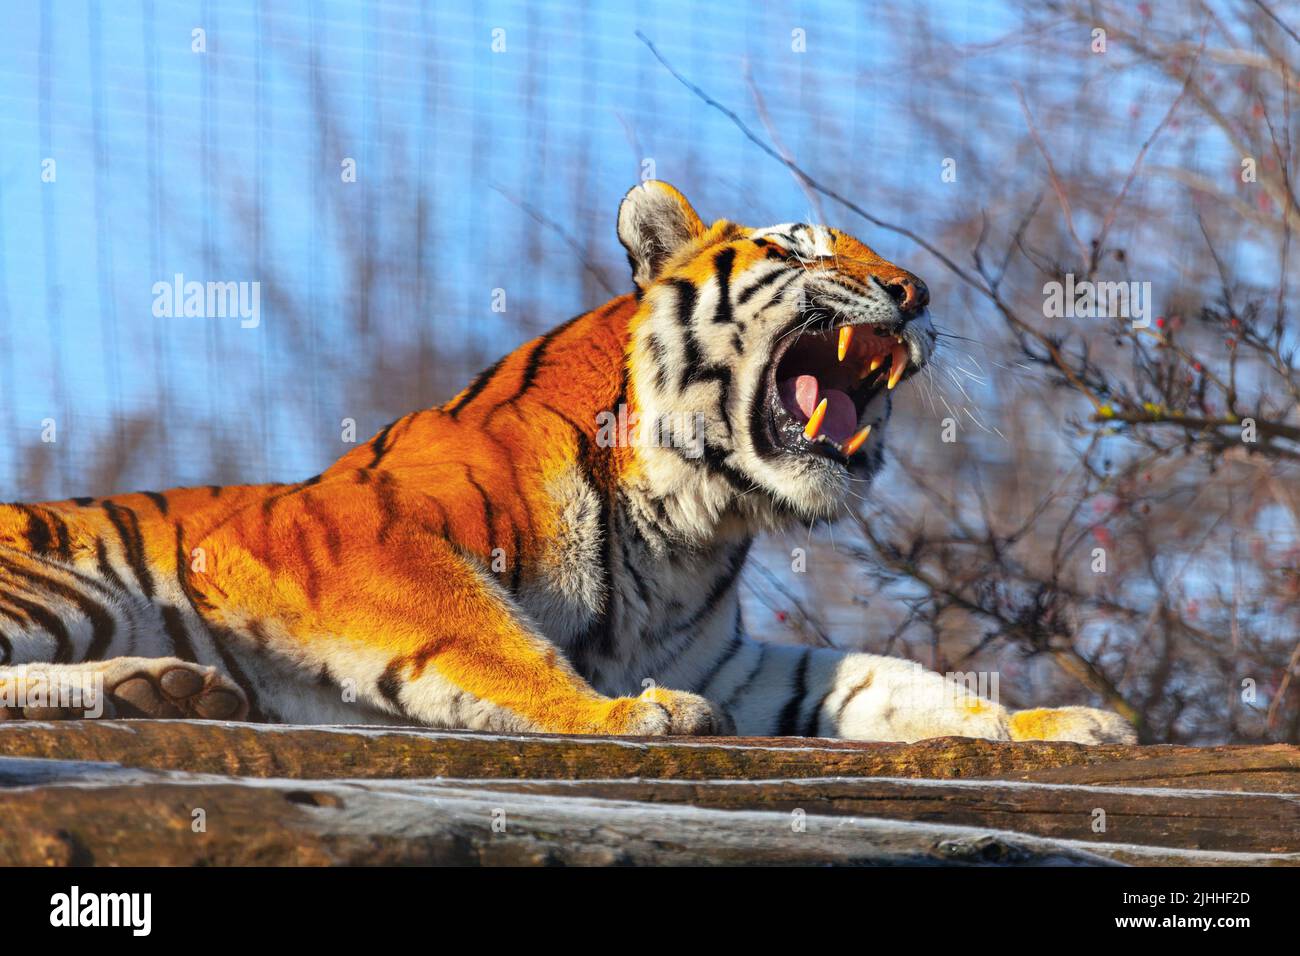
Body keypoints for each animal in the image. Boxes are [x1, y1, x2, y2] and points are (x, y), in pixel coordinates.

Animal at [0, 181, 1135, 744]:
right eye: (801, 248)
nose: (916, 294)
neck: (694, 519)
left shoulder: (733, 660)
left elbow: (890, 682)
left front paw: (1050, 720)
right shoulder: (352, 534)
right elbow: (489, 637)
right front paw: (618, 713)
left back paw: (158, 689)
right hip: (60, 580)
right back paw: (149, 686)